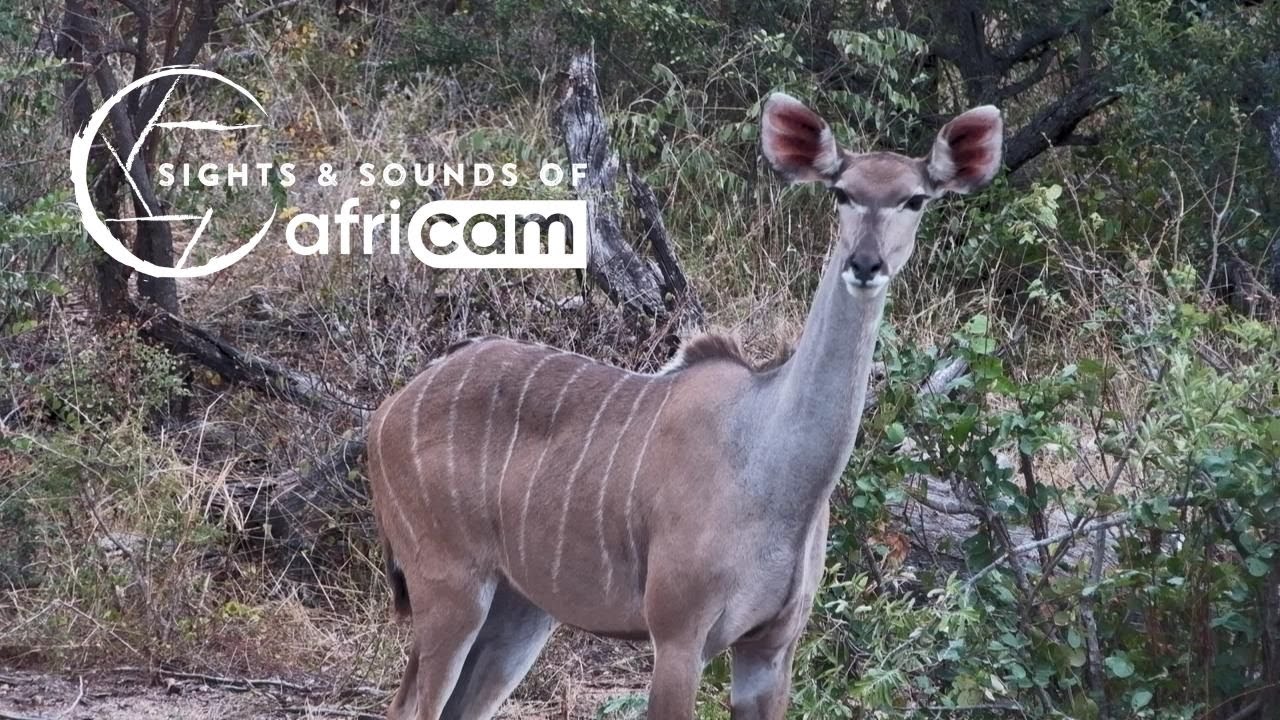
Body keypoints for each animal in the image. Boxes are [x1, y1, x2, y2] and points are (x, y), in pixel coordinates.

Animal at [367, 93, 1002, 720]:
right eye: (841, 191)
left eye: (915, 198)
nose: (866, 264)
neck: (770, 463)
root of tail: (387, 411)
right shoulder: (677, 635)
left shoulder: (771, 648)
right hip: (450, 589)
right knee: (410, 707)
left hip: (520, 608)